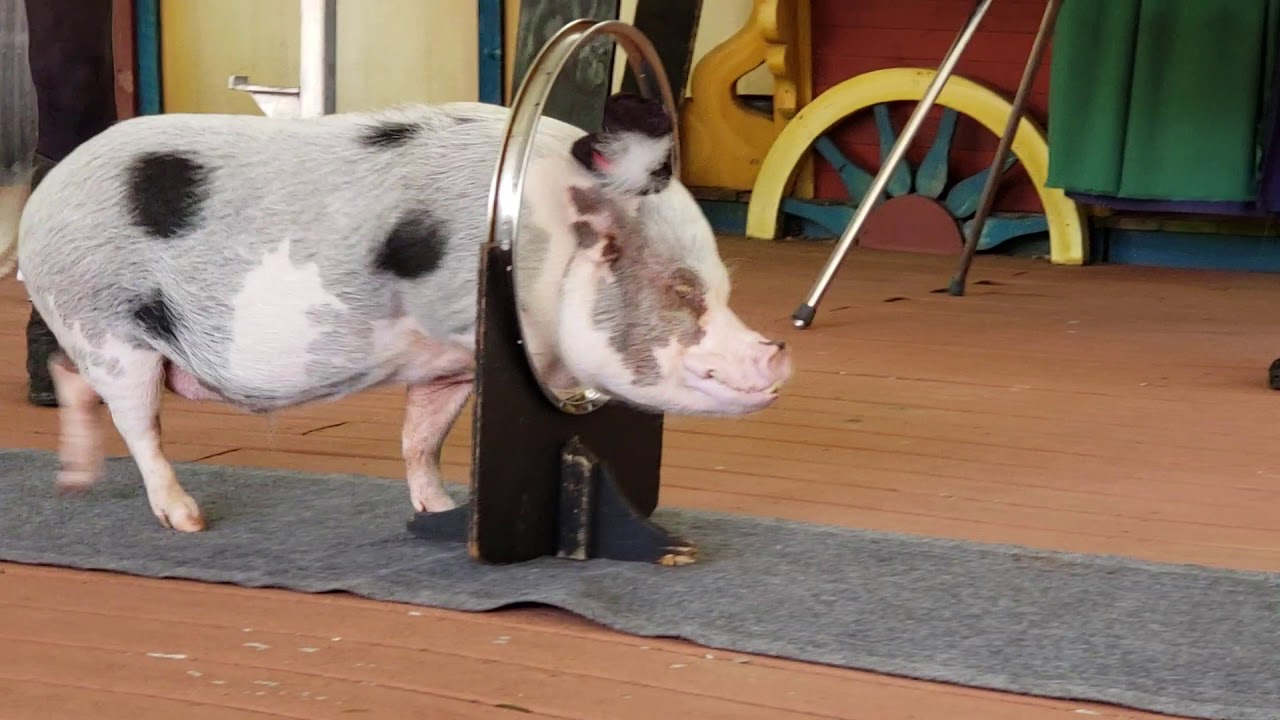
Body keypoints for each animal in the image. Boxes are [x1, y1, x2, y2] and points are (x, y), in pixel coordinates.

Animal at [0, 92, 793, 533]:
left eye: (719, 285)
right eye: (682, 290)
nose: (776, 352)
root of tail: (45, 199)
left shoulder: (449, 364)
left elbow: (421, 438)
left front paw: (439, 512)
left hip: (96, 334)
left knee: (72, 382)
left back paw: (75, 481)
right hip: (109, 322)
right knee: (140, 427)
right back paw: (188, 523)